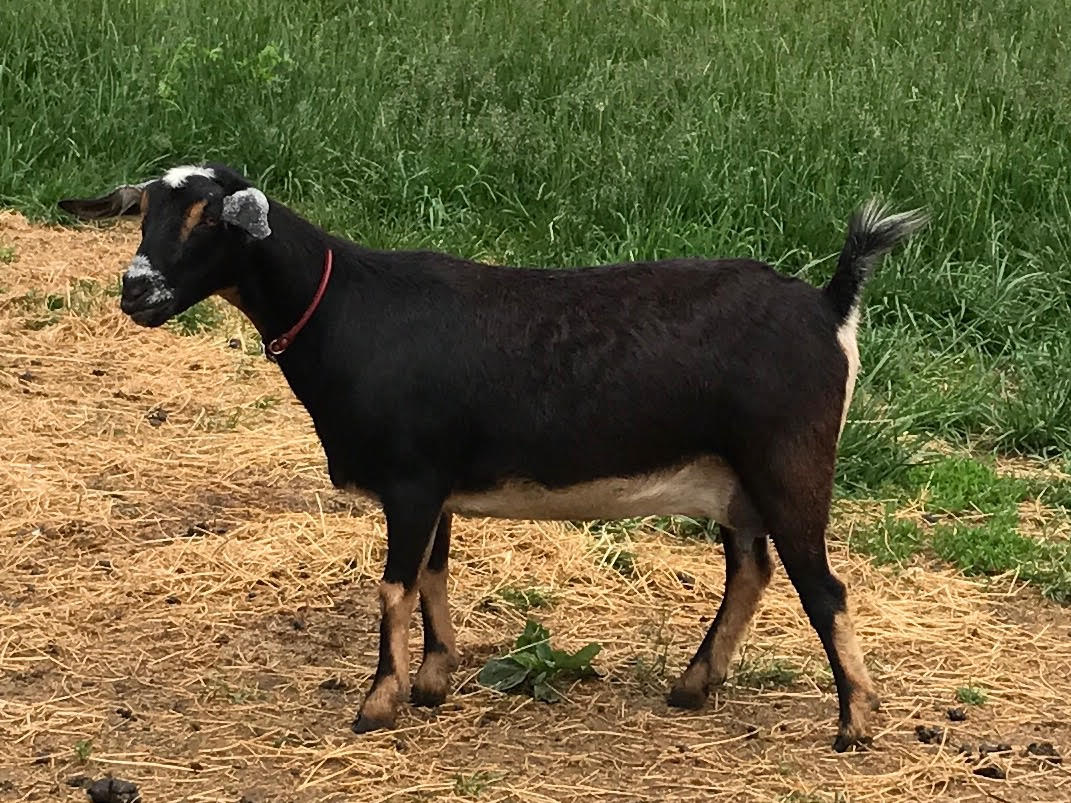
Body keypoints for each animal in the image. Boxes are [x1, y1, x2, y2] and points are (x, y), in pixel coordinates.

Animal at [59, 163, 925, 751]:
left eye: (209, 220)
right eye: (145, 213)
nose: (136, 291)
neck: (344, 310)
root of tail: (828, 305)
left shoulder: (409, 480)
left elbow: (394, 586)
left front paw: (377, 704)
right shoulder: (433, 483)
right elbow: (435, 576)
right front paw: (434, 681)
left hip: (787, 462)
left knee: (822, 585)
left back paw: (855, 722)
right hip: (738, 482)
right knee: (751, 570)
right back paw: (691, 685)